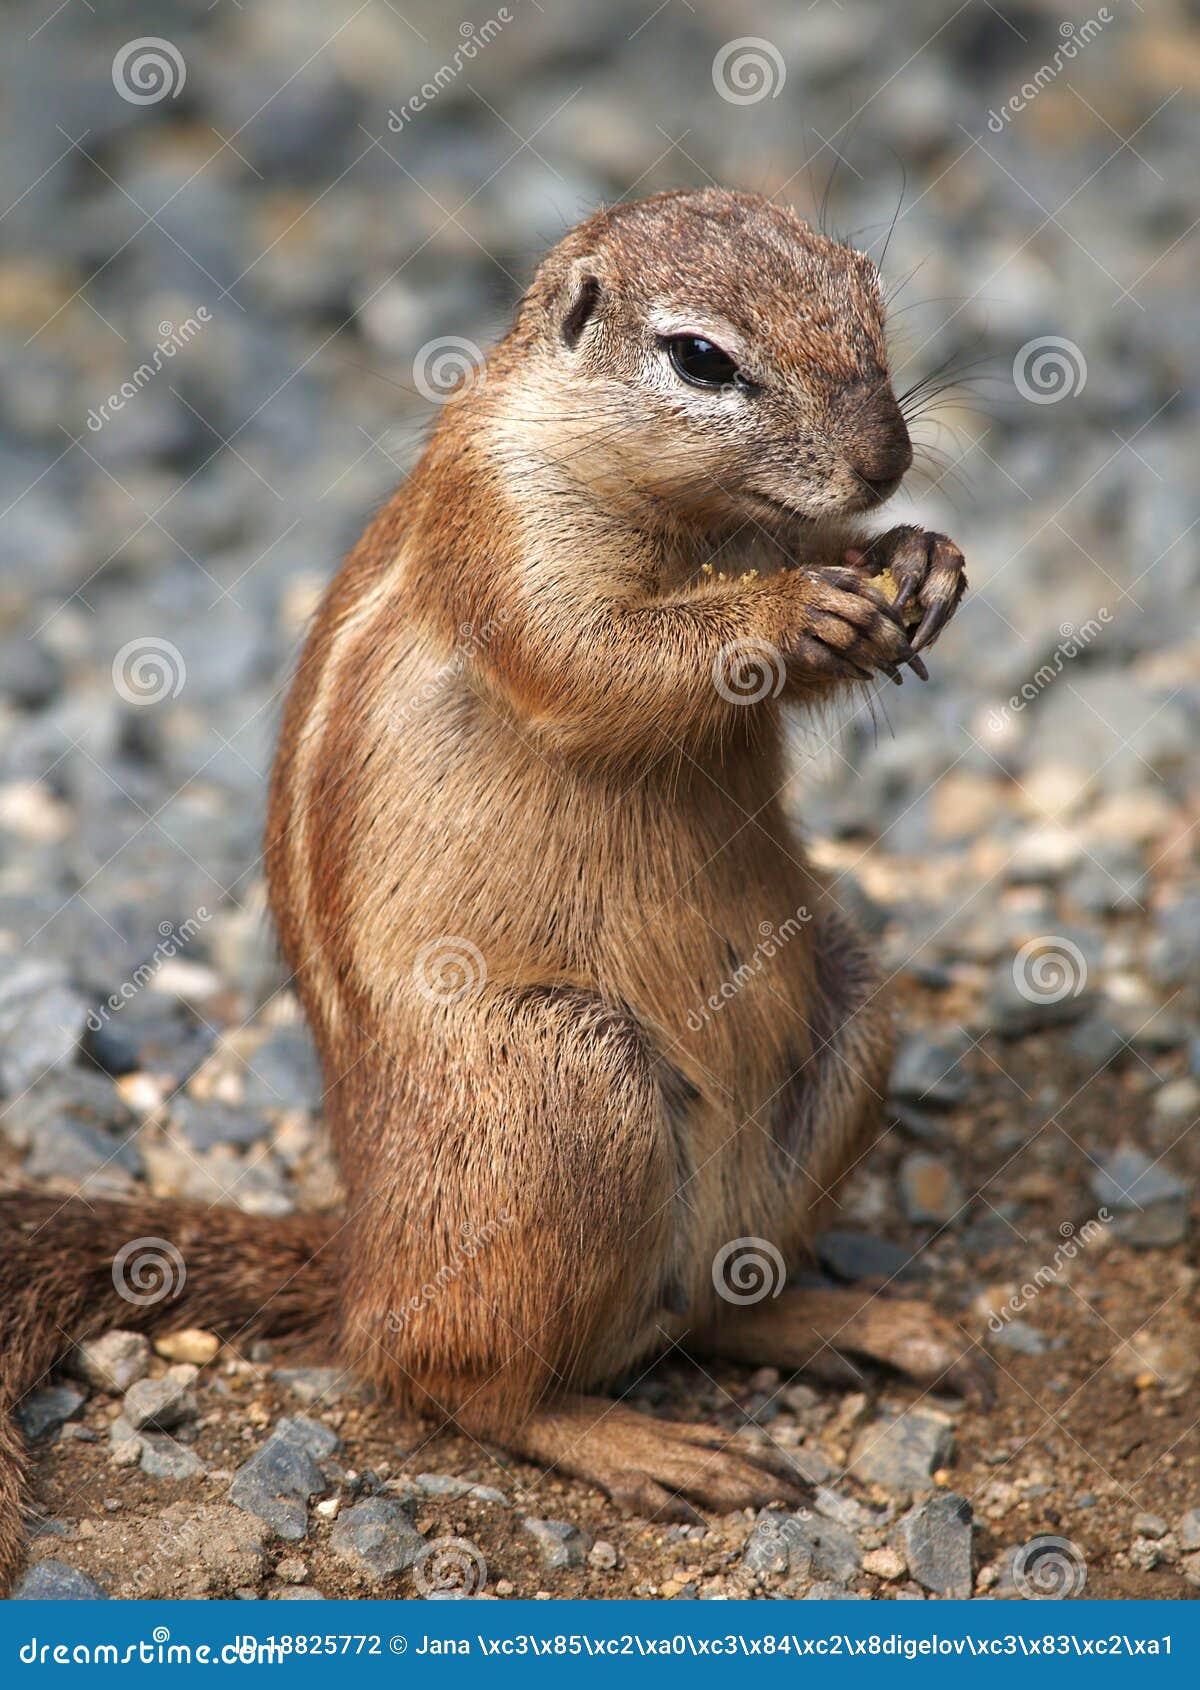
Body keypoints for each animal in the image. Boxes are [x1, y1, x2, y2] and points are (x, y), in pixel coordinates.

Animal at [0, 188, 977, 1584]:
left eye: (872, 312)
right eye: (700, 359)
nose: (885, 463)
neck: (705, 521)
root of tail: (363, 1254)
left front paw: (919, 556)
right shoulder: (506, 534)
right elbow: (599, 658)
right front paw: (791, 612)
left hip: (847, 1017)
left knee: (710, 1306)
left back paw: (856, 1323)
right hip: (564, 1087)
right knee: (457, 1380)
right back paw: (642, 1446)